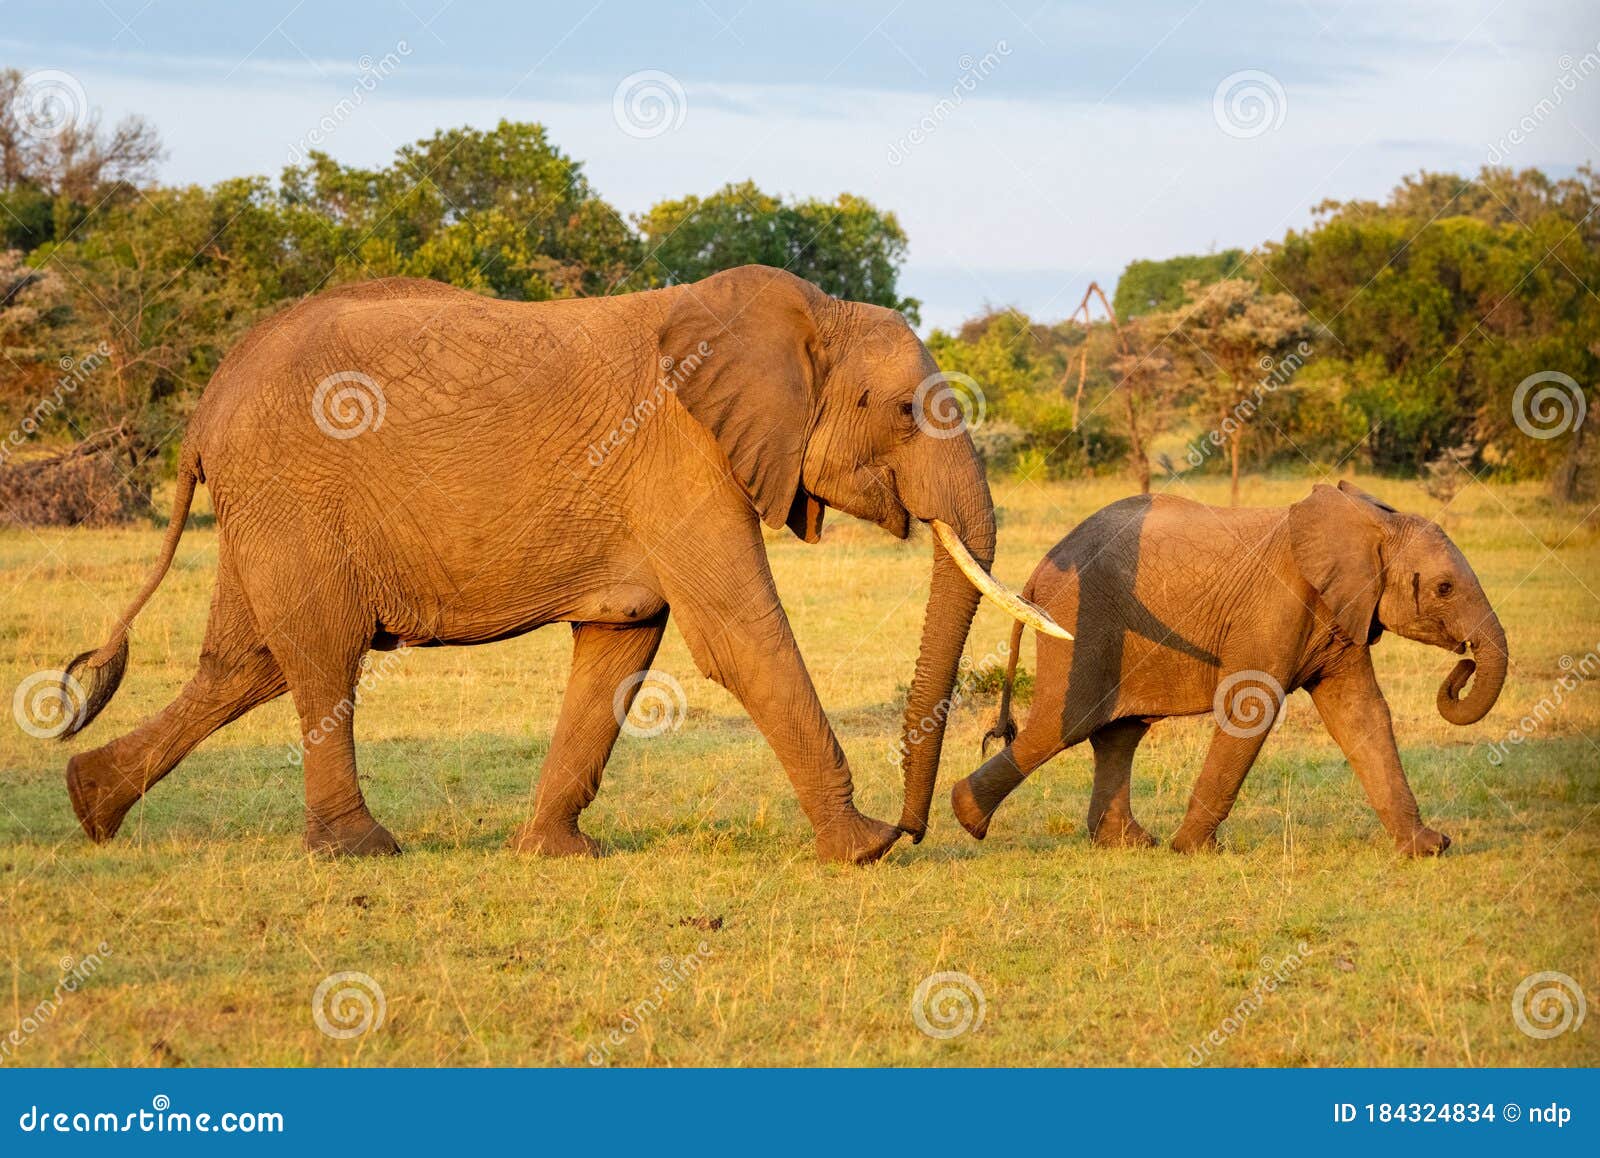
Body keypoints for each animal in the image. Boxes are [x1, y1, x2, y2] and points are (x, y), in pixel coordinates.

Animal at [52, 265, 1064, 864]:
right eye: (902, 411)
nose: (922, 825)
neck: (803, 313)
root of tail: (207, 402)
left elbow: (622, 643)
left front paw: (554, 854)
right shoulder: (680, 456)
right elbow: (741, 637)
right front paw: (862, 850)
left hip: (265, 506)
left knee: (246, 663)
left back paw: (90, 804)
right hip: (289, 492)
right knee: (322, 657)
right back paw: (363, 850)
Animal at [947, 481, 1508, 855]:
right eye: (1444, 588)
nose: (1464, 662)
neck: (1371, 521)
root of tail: (1036, 573)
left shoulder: (1342, 612)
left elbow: (1362, 714)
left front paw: (1429, 848)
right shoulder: (1278, 605)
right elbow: (1252, 707)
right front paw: (1194, 851)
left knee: (1119, 734)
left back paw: (1131, 843)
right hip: (1081, 622)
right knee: (1066, 725)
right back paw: (967, 816)